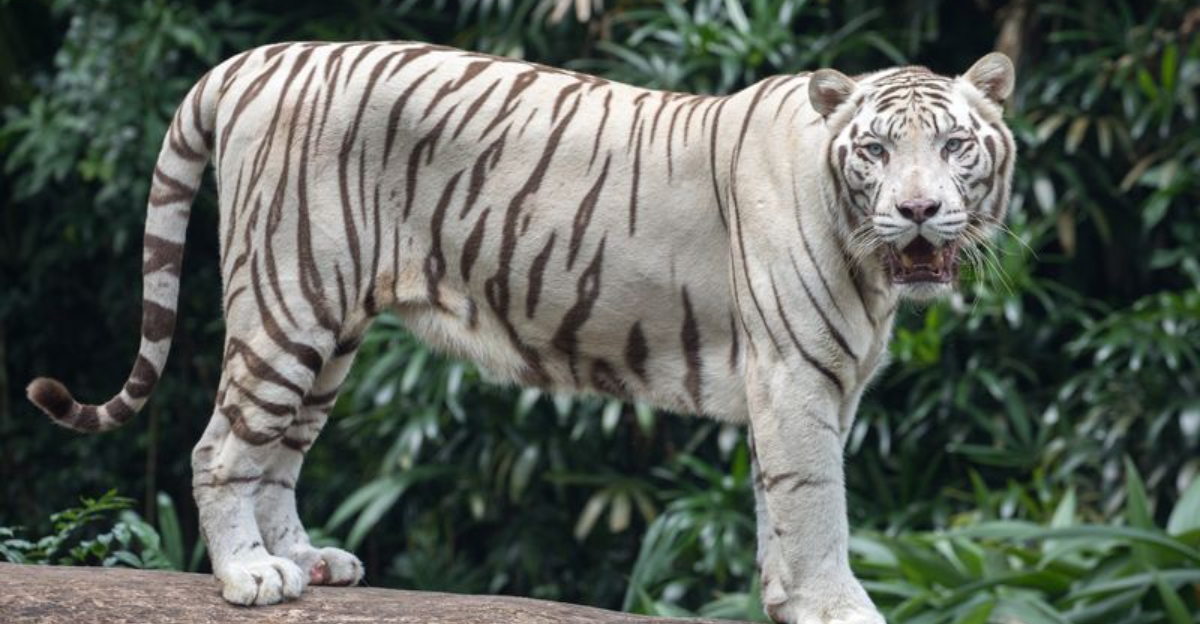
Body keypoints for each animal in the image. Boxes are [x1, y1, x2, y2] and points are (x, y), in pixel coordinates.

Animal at [27, 41, 1015, 623]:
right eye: (876, 150)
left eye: (955, 146)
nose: (918, 212)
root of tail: (249, 62)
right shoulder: (797, 378)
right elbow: (816, 506)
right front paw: (834, 606)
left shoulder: (800, 387)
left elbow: (779, 505)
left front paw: (783, 601)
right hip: (288, 301)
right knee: (222, 447)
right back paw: (250, 578)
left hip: (330, 327)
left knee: (278, 454)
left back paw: (305, 561)